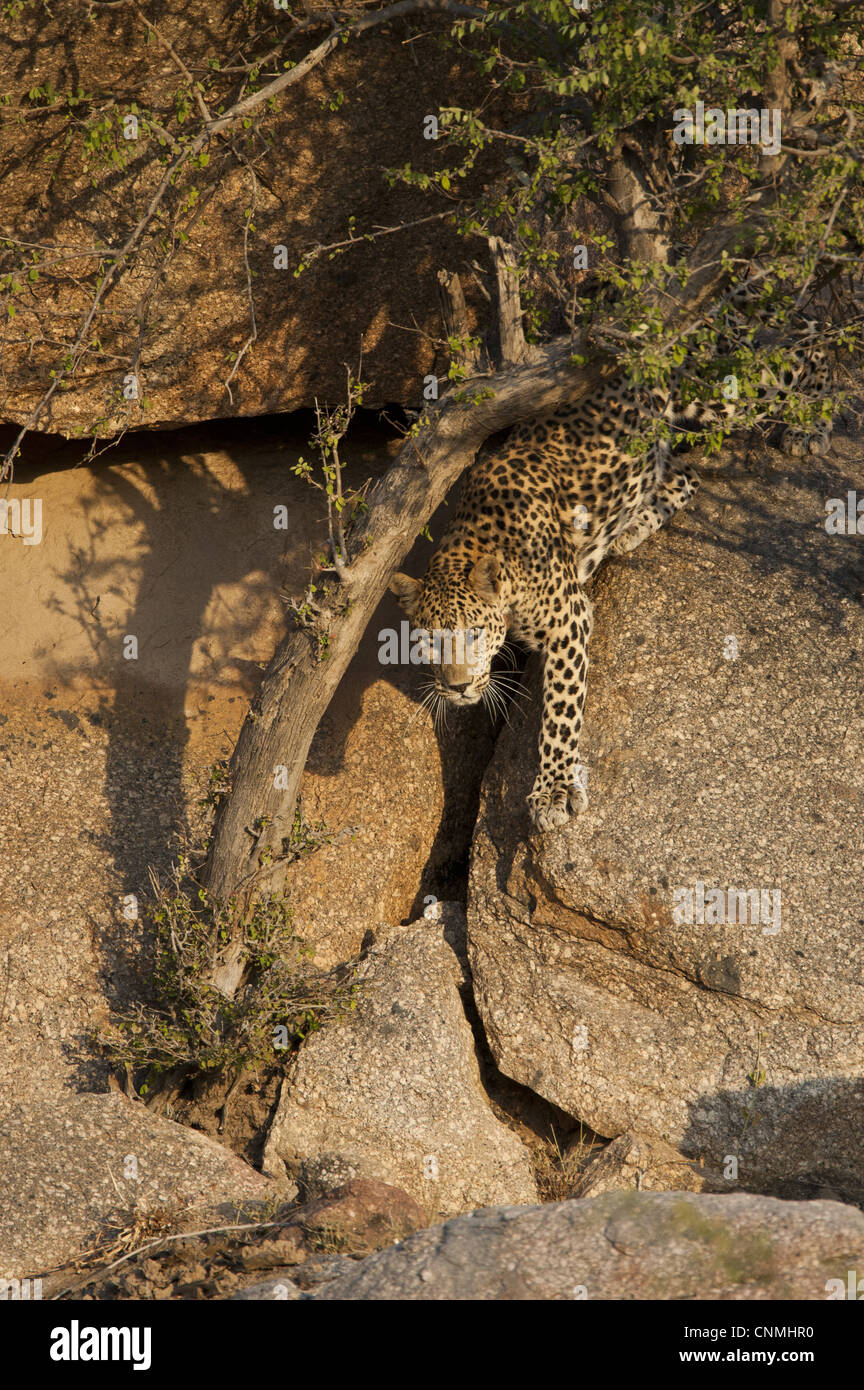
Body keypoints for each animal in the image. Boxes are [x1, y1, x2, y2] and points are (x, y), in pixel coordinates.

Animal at [390, 307, 833, 833]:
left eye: (475, 634)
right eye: (427, 641)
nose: (457, 688)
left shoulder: (569, 618)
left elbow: (559, 711)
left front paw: (554, 789)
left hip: (720, 393)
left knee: (805, 348)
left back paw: (814, 420)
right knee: (685, 473)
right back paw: (631, 528)